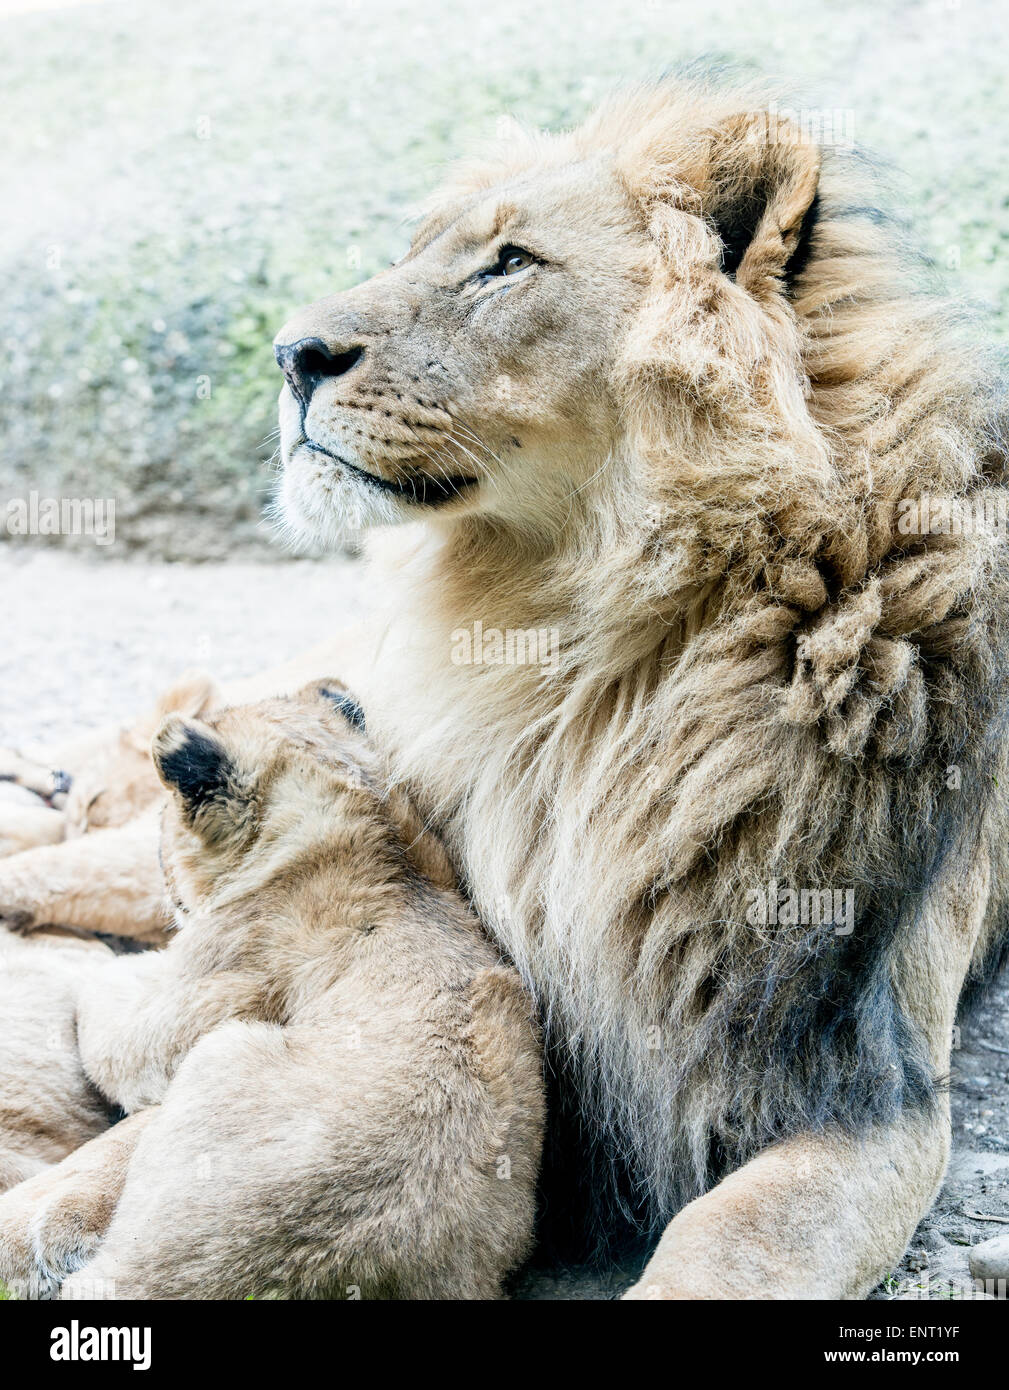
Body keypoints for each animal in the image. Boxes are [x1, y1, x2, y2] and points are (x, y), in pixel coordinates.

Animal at [0, 683, 543, 1299]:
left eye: (162, 832)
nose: (165, 885)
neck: (378, 844)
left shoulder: (180, 1017)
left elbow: (106, 1007)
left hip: (221, 1052)